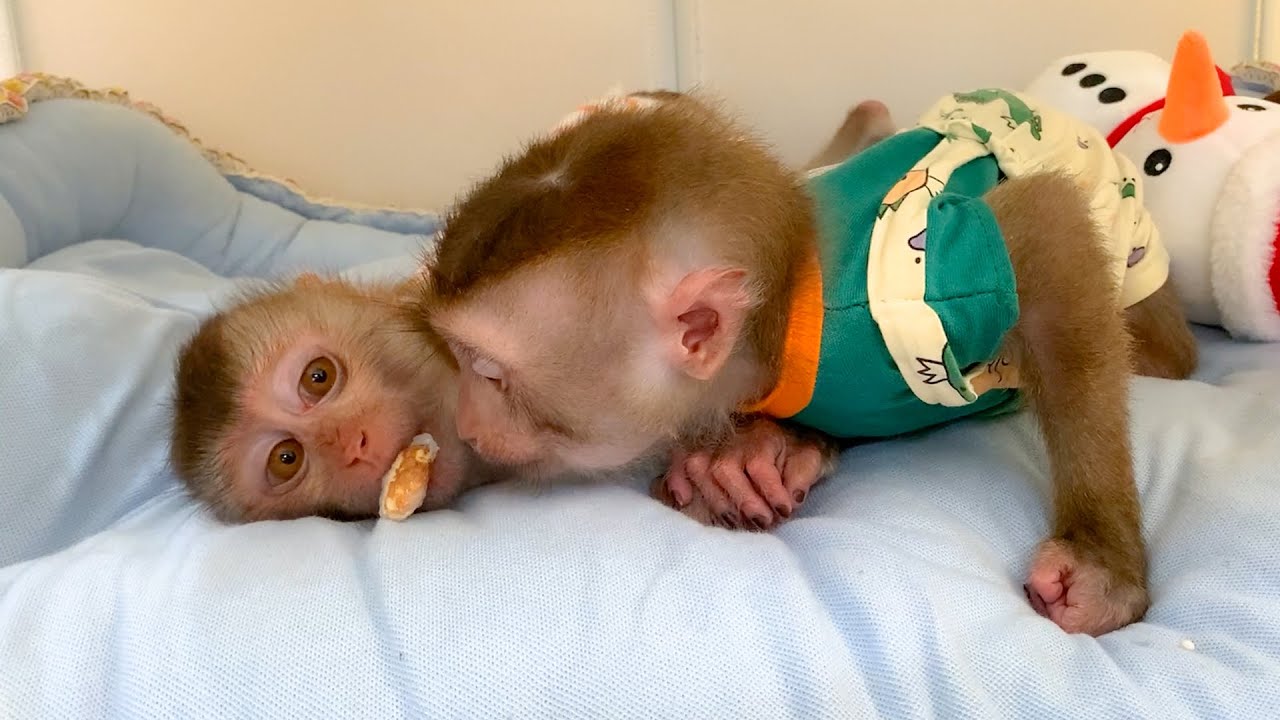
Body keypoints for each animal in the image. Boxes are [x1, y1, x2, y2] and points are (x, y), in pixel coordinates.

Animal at [412, 88, 1199, 637]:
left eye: (488, 373)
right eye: (457, 360)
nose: (468, 423)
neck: (781, 316)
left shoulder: (918, 293)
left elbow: (1049, 229)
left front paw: (1103, 559)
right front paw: (755, 455)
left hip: (1121, 219)